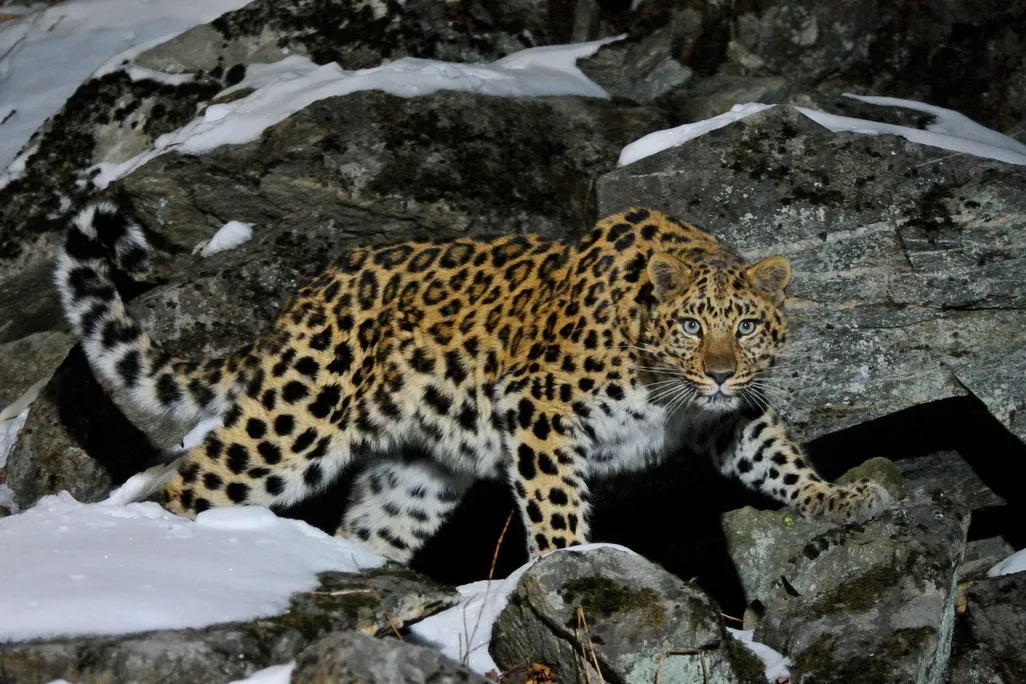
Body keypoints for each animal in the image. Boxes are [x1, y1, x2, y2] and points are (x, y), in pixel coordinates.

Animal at [55, 203, 892, 562]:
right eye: (691, 325)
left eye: (745, 328)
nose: (717, 370)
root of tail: (299, 301)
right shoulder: (540, 407)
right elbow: (555, 506)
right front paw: (570, 566)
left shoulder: (729, 417)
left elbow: (778, 458)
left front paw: (843, 497)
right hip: (291, 424)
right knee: (187, 480)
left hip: (414, 477)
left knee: (367, 530)